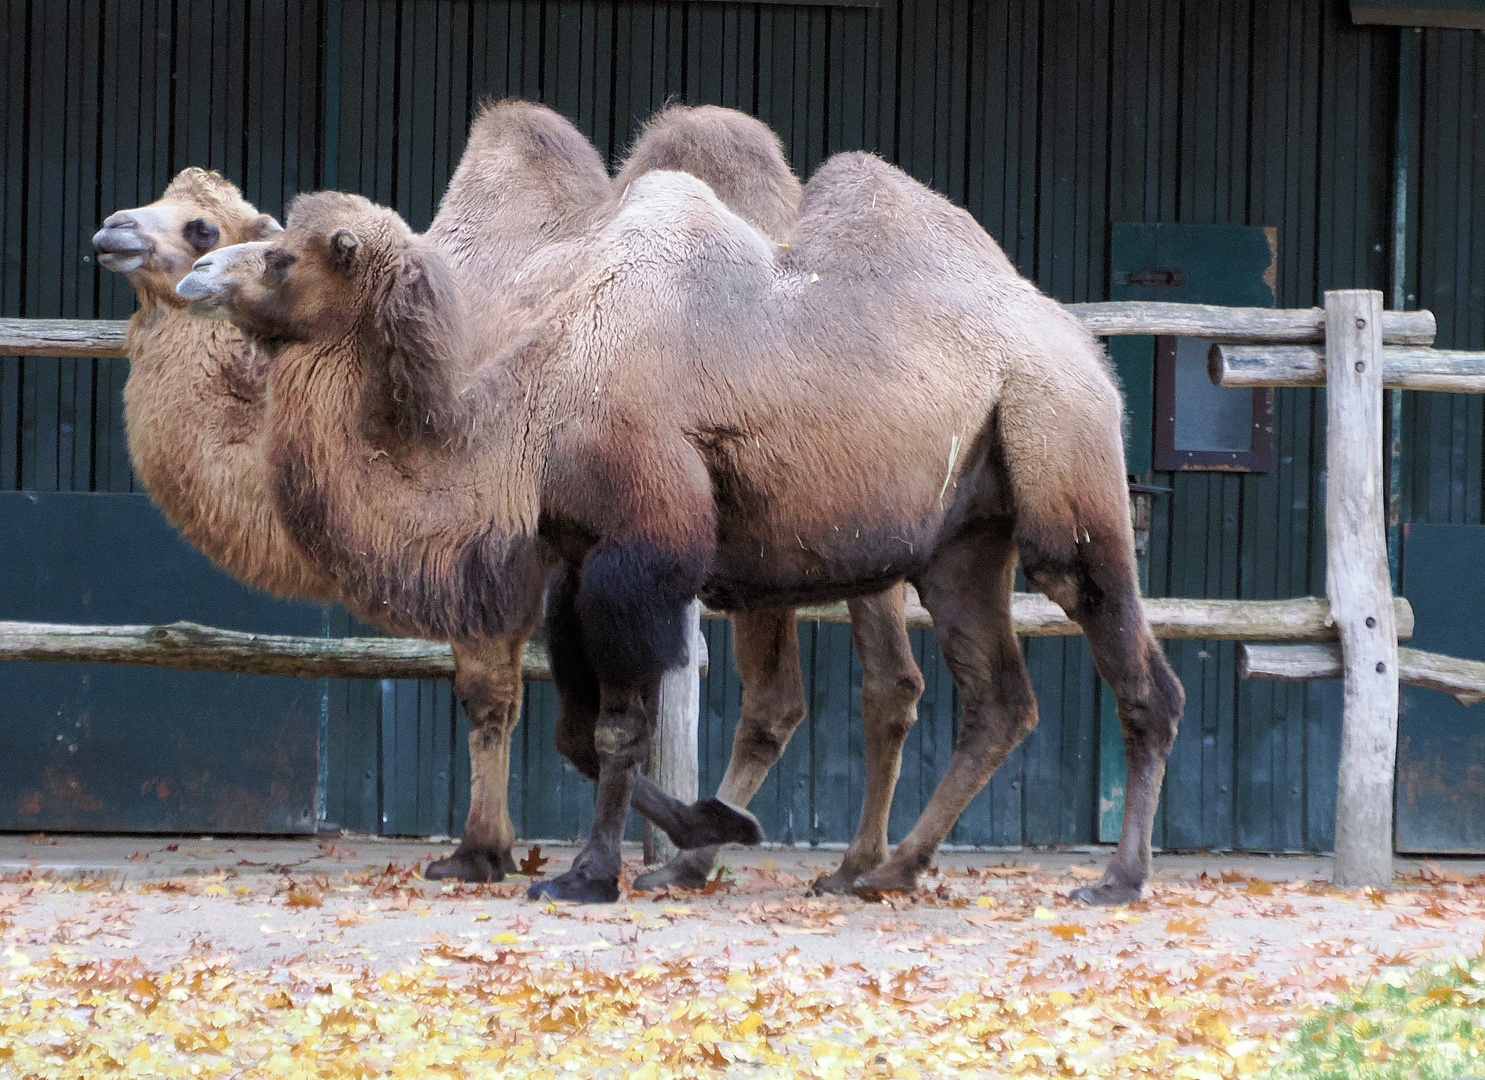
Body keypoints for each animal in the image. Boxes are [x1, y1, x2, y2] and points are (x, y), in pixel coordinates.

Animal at [182, 145, 1182, 903]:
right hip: (963, 540)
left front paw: (587, 875)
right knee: (995, 699)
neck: (530, 412)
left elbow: (617, 729)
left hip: (1061, 460)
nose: (196, 273)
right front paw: (711, 828)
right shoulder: (577, 562)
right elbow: (575, 733)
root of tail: (1087, 352)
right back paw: (881, 872)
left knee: (1130, 661)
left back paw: (1116, 879)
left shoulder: (640, 553)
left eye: (285, 256)